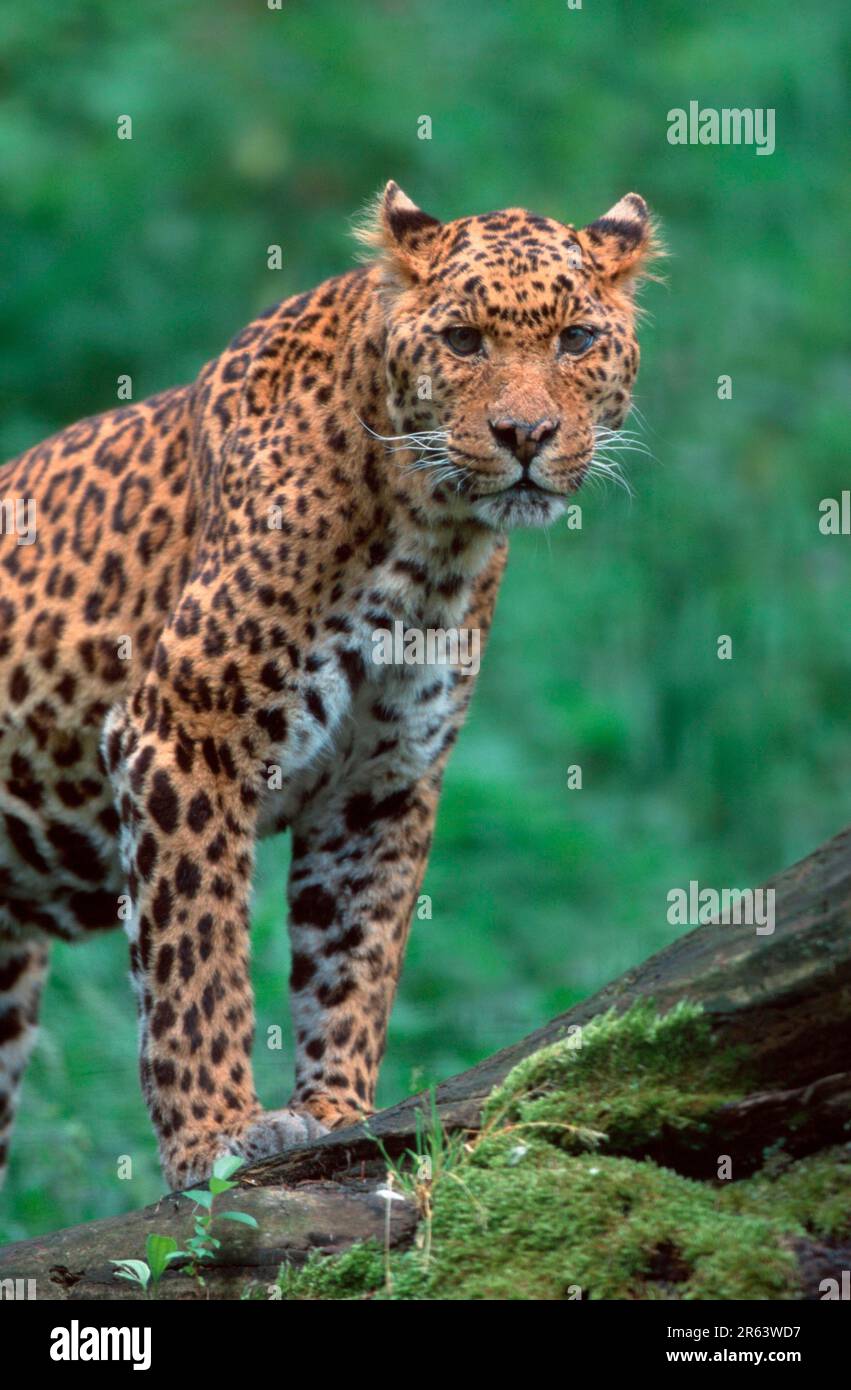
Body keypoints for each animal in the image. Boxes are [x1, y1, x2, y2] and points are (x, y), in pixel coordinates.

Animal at [0, 182, 660, 1192]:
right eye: (462, 340)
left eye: (577, 340)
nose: (525, 436)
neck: (430, 538)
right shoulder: (181, 731)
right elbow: (195, 949)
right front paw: (216, 1136)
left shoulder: (381, 782)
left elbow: (354, 954)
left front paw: (341, 1114)